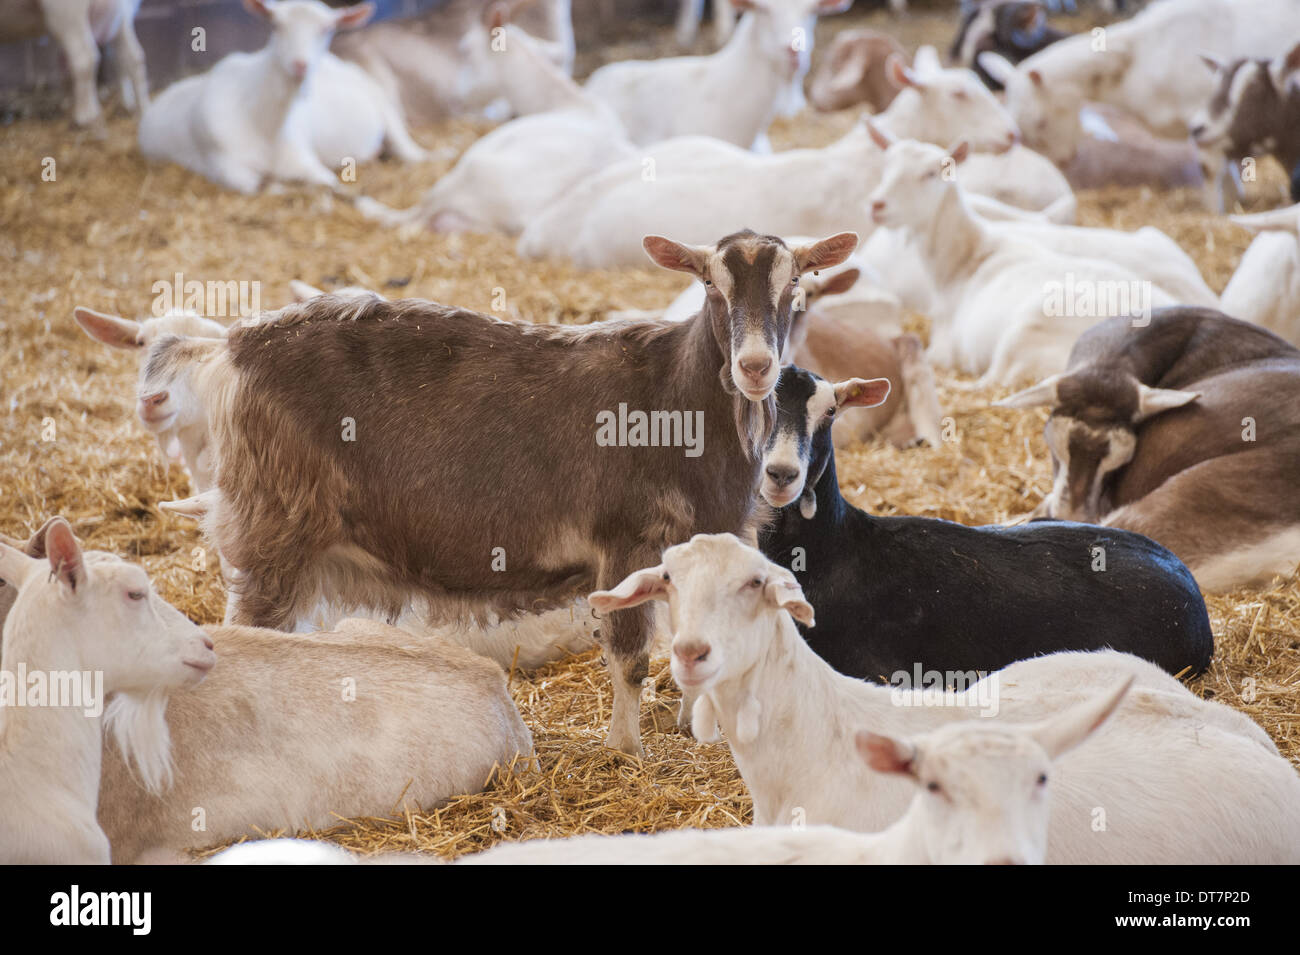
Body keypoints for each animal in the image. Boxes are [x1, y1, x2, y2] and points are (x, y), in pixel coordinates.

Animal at [138, 0, 426, 194]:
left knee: (407, 147)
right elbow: (256, 185)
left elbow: (326, 181)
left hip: (380, 99)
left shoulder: (305, 158)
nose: (300, 65)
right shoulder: (224, 163)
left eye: (327, 29)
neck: (264, 123)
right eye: (276, 25)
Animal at [139, 231, 857, 756]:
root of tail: (232, 347)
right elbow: (628, 657)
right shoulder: (623, 542)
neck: (676, 399)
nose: (756, 365)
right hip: (272, 534)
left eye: (796, 285)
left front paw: (693, 725)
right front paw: (626, 749)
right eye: (711, 282)